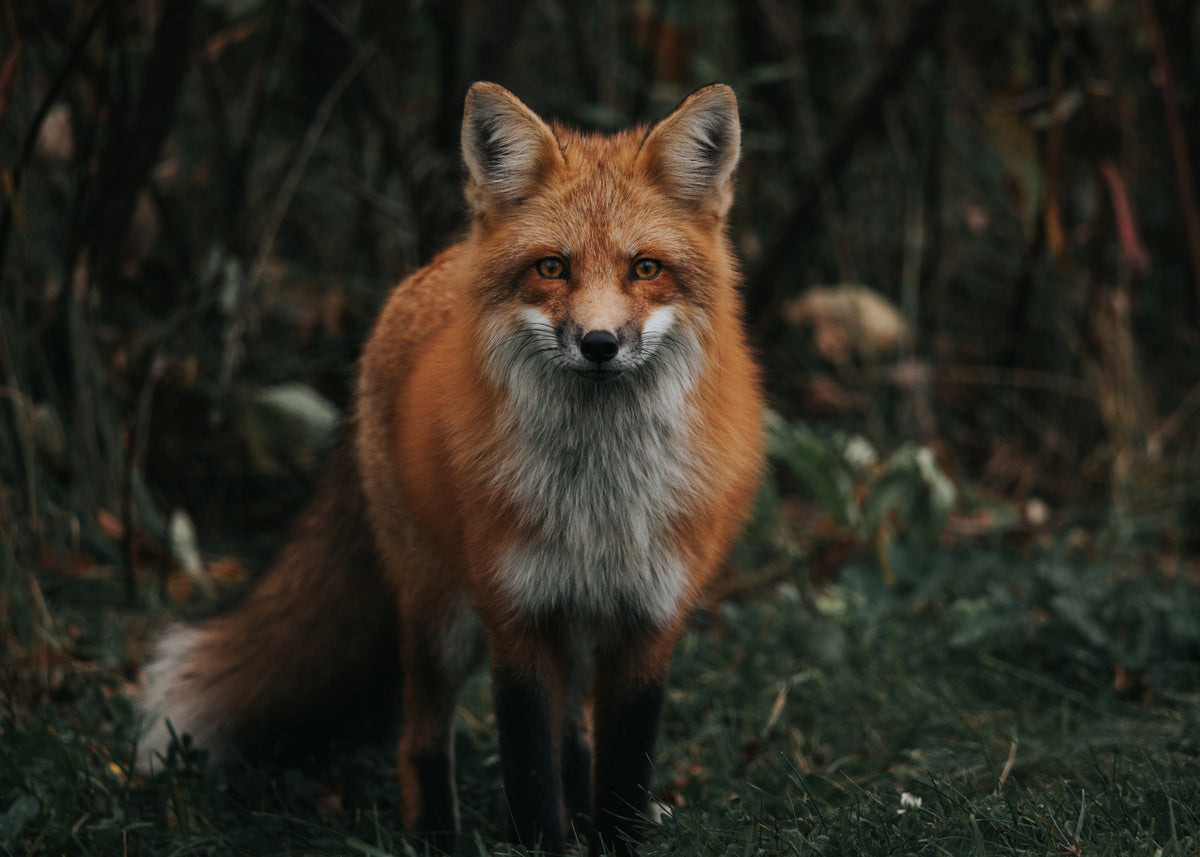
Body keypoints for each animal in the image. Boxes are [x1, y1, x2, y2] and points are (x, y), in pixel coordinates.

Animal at [137, 81, 764, 856]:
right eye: (551, 267)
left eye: (644, 268)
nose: (599, 343)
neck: (597, 499)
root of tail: (432, 269)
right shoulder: (514, 613)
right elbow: (530, 775)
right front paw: (549, 840)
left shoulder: (649, 621)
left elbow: (621, 776)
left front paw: (607, 835)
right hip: (440, 615)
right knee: (420, 739)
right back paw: (433, 835)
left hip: (570, 629)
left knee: (576, 738)